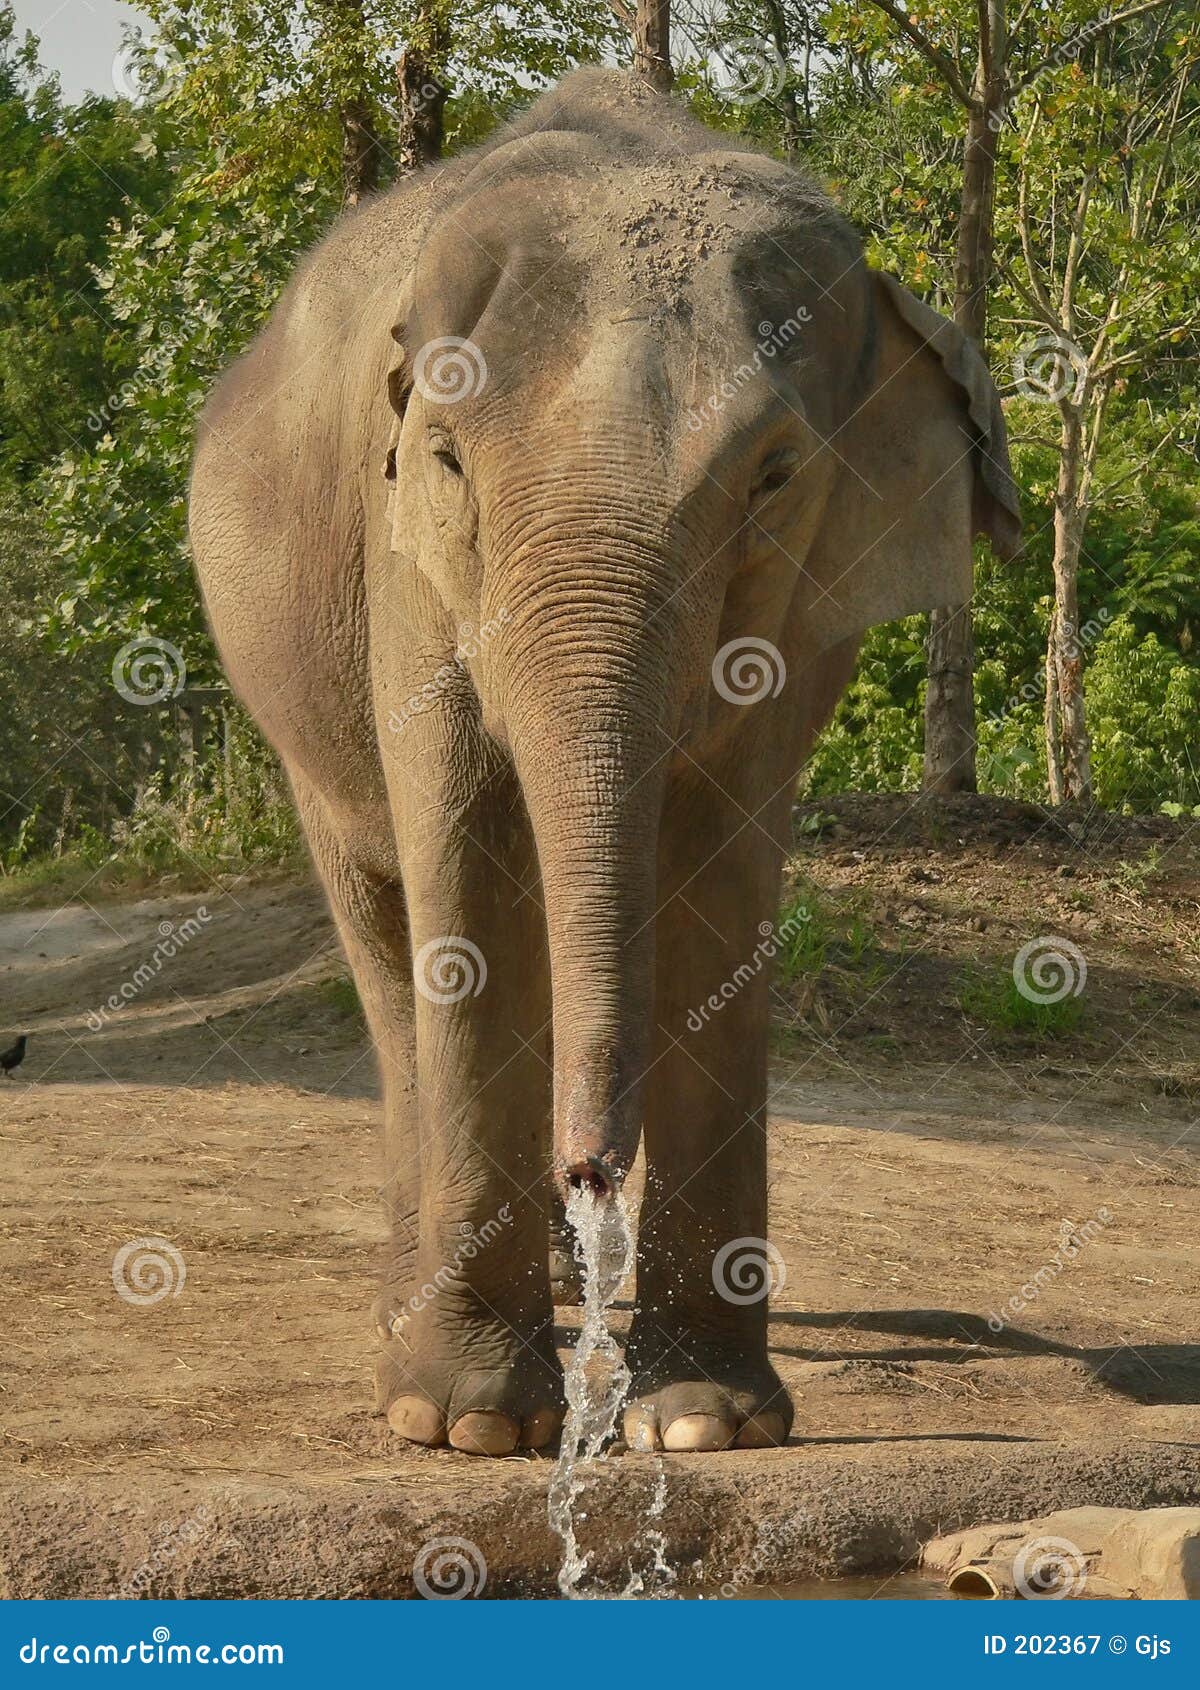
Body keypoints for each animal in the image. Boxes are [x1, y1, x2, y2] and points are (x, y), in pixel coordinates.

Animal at [189, 68, 1020, 1458]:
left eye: (775, 475)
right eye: (449, 458)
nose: (589, 1172)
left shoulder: (804, 603)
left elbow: (721, 866)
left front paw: (702, 1424)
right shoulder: (404, 556)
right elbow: (467, 855)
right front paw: (470, 1424)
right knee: (385, 930)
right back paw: (419, 1323)